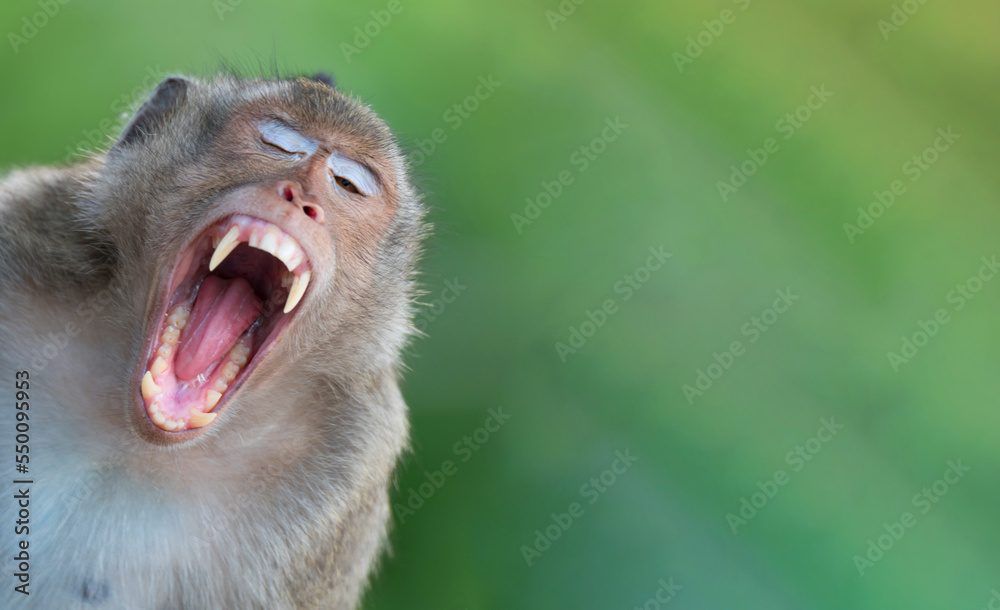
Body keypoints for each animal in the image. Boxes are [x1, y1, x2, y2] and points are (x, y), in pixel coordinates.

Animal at [0, 72, 426, 609]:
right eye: (276, 144)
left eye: (348, 185)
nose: (300, 199)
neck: (137, 441)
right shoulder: (23, 239)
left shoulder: (347, 459)